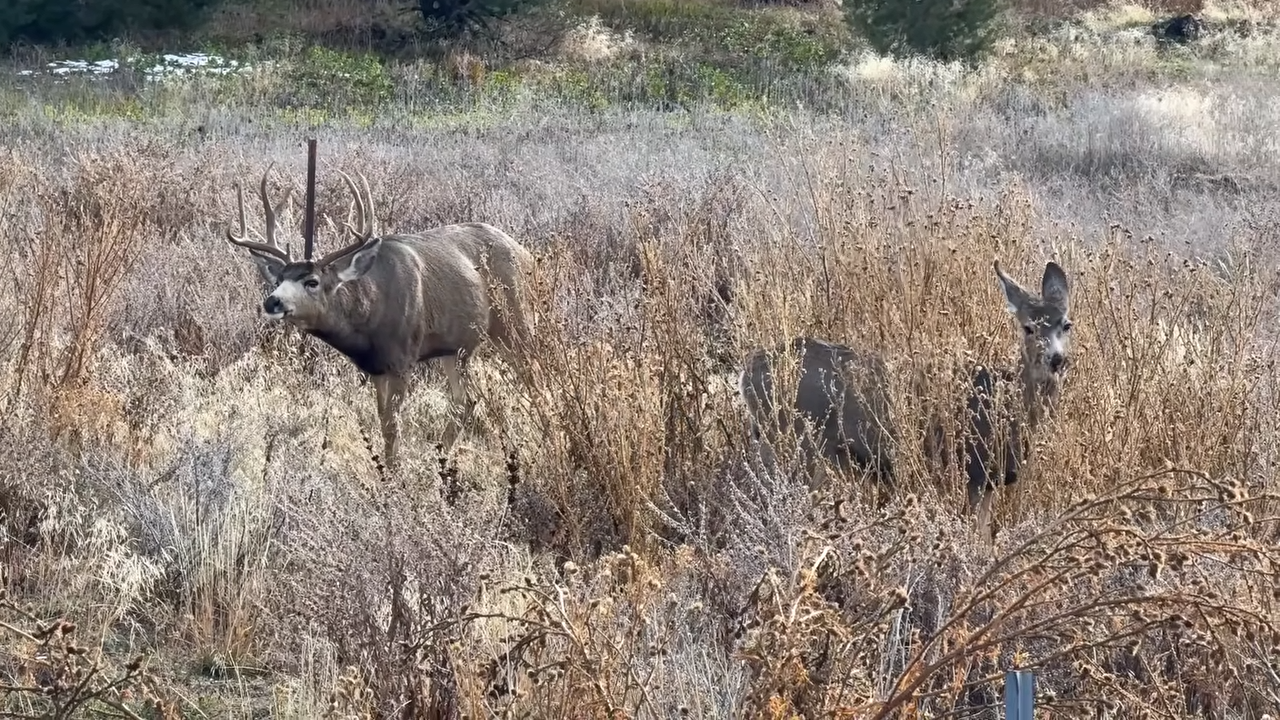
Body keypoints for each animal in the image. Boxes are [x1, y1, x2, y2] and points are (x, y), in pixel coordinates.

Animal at [223, 165, 535, 469]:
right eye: (279, 279)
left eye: (312, 281)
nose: (272, 301)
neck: (370, 320)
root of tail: (525, 251)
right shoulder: (377, 368)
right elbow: (383, 421)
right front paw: (386, 469)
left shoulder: (403, 359)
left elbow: (393, 424)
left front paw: (395, 473)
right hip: (455, 348)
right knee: (465, 401)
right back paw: (440, 461)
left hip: (514, 323)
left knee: (530, 380)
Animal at [737, 260, 1072, 541]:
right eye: (1028, 327)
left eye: (1066, 324)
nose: (1056, 359)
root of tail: (747, 372)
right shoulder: (974, 471)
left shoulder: (988, 481)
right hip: (795, 445)